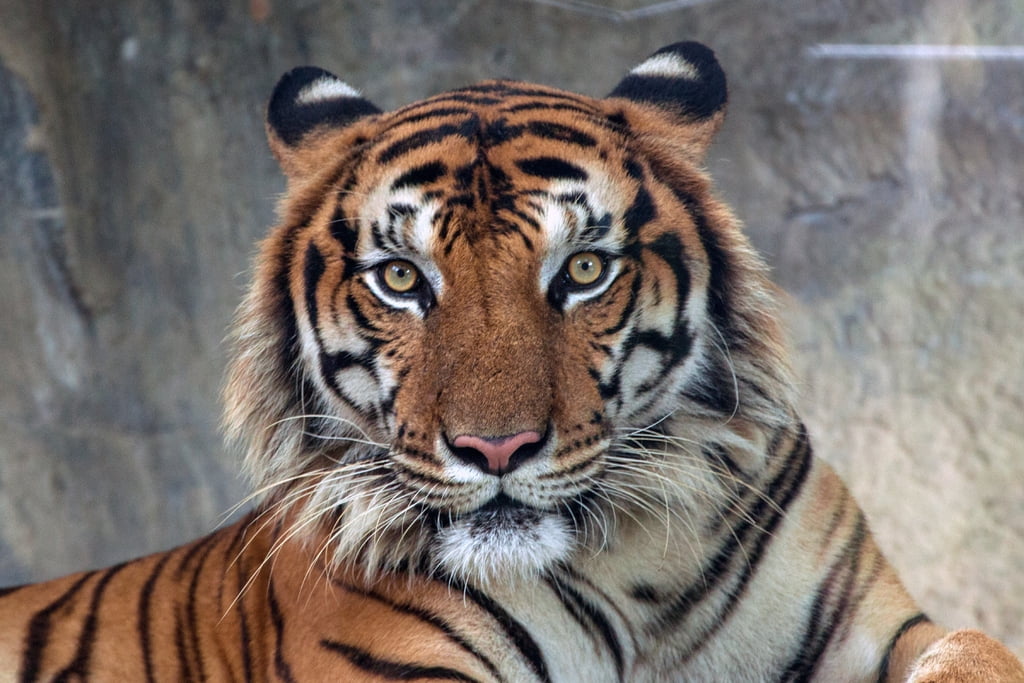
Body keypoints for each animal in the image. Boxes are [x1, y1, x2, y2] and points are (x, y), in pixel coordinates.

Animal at [1, 40, 1021, 682]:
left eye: (582, 269)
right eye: (402, 278)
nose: (495, 450)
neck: (635, 567)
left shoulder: (883, 629)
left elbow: (979, 647)